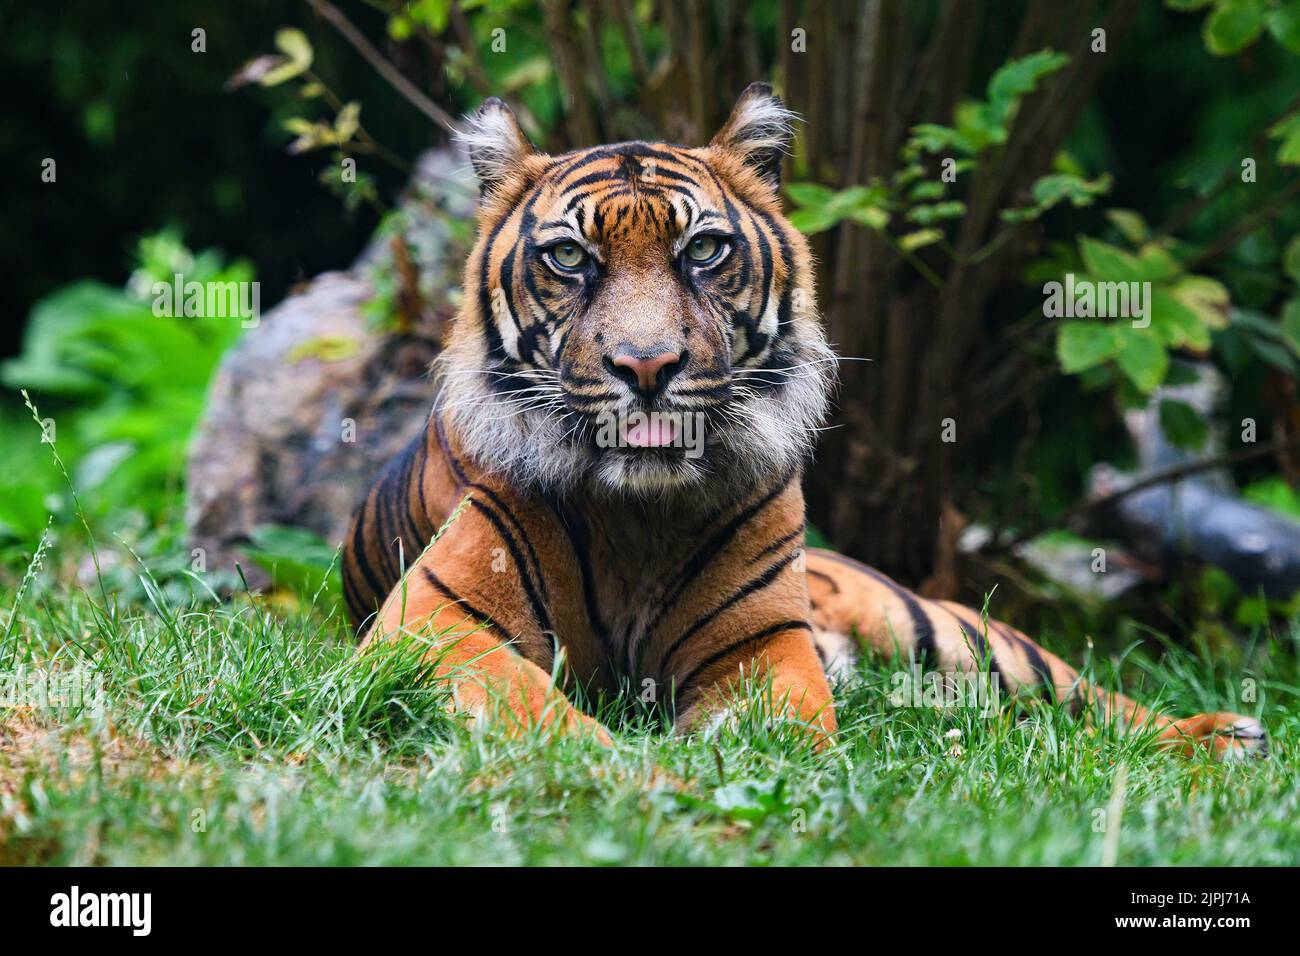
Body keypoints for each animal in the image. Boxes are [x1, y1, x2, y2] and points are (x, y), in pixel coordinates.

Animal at [342, 83, 1267, 760]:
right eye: (569, 257)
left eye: (703, 251)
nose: (646, 367)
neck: (634, 519)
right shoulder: (430, 618)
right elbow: (525, 702)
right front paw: (605, 766)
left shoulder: (762, 639)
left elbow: (786, 717)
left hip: (949, 632)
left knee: (1087, 697)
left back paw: (1224, 737)